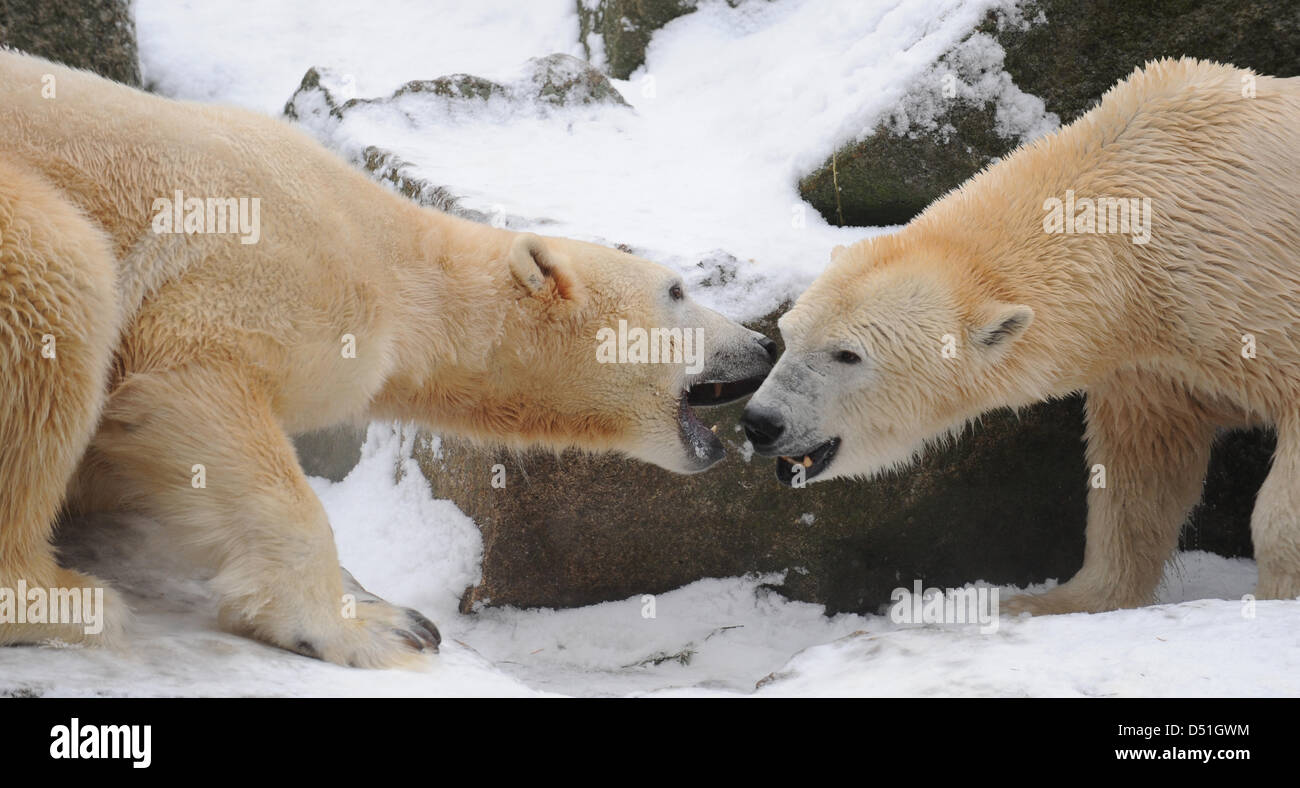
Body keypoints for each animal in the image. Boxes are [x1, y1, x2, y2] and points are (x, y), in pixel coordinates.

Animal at [0, 51, 774, 667]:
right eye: (677, 290)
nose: (765, 344)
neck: (390, 258)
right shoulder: (257, 272)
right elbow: (192, 381)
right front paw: (379, 627)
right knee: (62, 279)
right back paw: (60, 599)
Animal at [742, 58, 1300, 615]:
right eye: (787, 335)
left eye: (847, 355)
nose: (760, 422)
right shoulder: (1151, 370)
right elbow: (1138, 481)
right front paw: (1054, 602)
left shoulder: (1252, 296)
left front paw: (1274, 598)